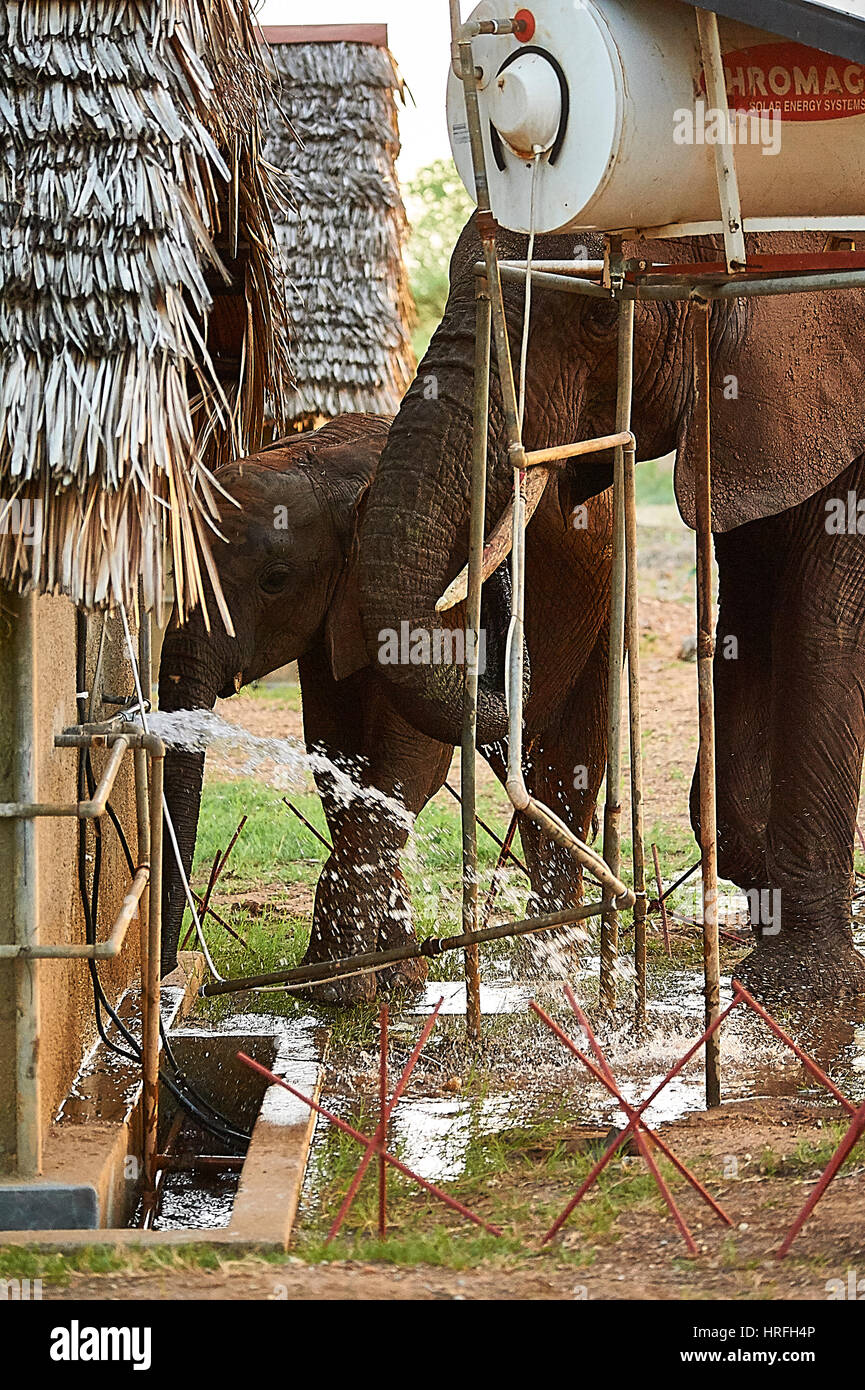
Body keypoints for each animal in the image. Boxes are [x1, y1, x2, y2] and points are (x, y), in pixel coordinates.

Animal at [159, 411, 453, 1000]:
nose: (175, 975)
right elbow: (334, 751)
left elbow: (411, 759)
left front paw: (336, 990)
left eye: (275, 581)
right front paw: (378, 979)